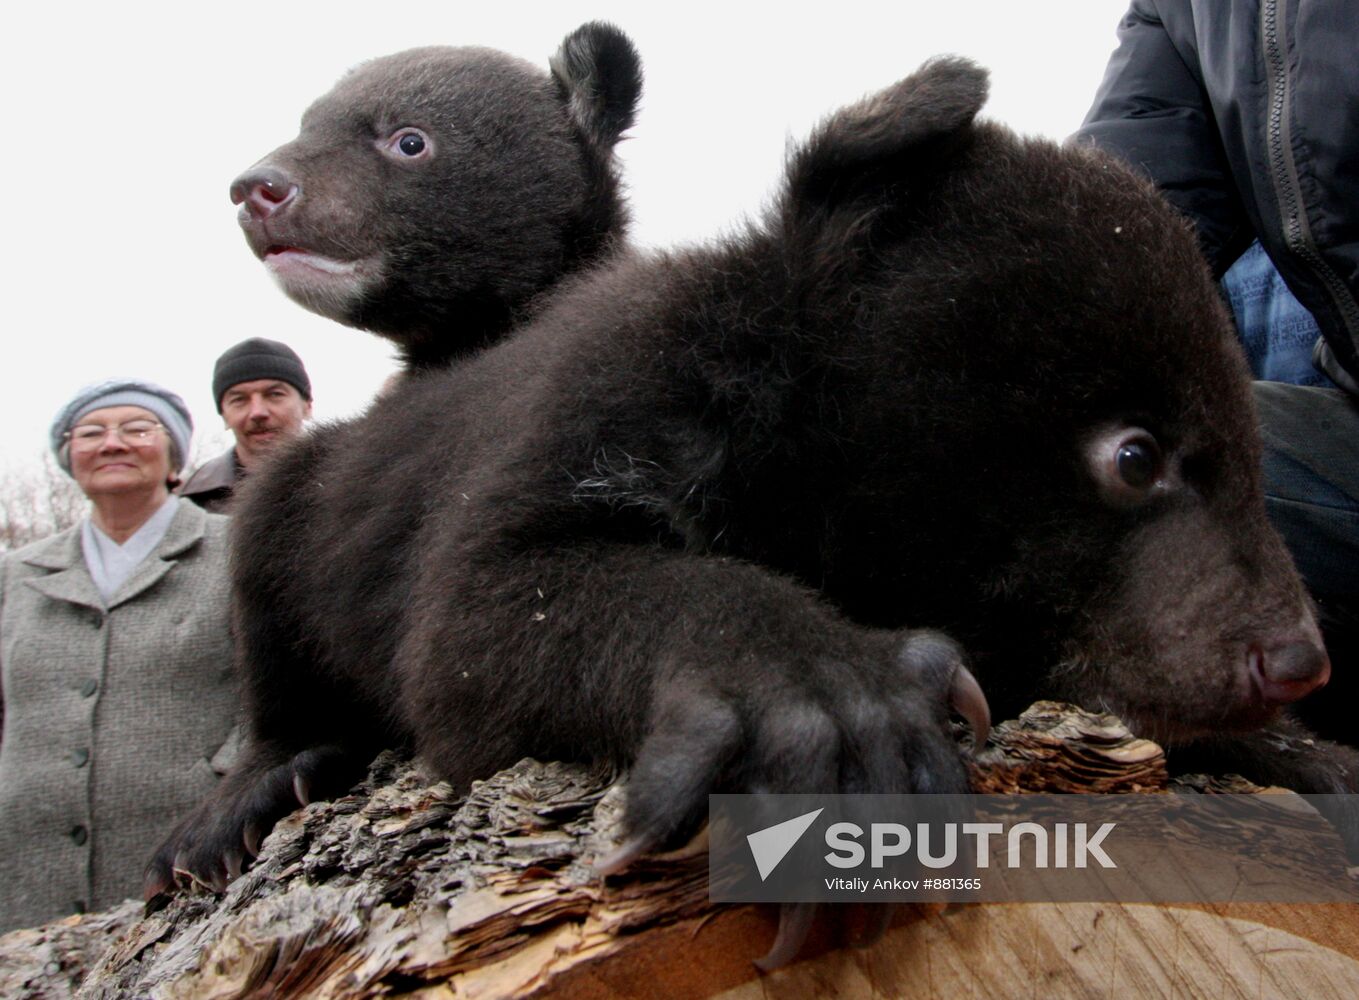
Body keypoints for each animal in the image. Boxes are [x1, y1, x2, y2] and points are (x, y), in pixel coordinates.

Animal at [150, 57, 1359, 967]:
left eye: (1252, 458)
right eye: (1135, 454)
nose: (1297, 660)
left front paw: (1308, 761)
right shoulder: (605, 391)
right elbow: (486, 612)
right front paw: (833, 709)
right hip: (294, 504)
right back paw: (249, 792)